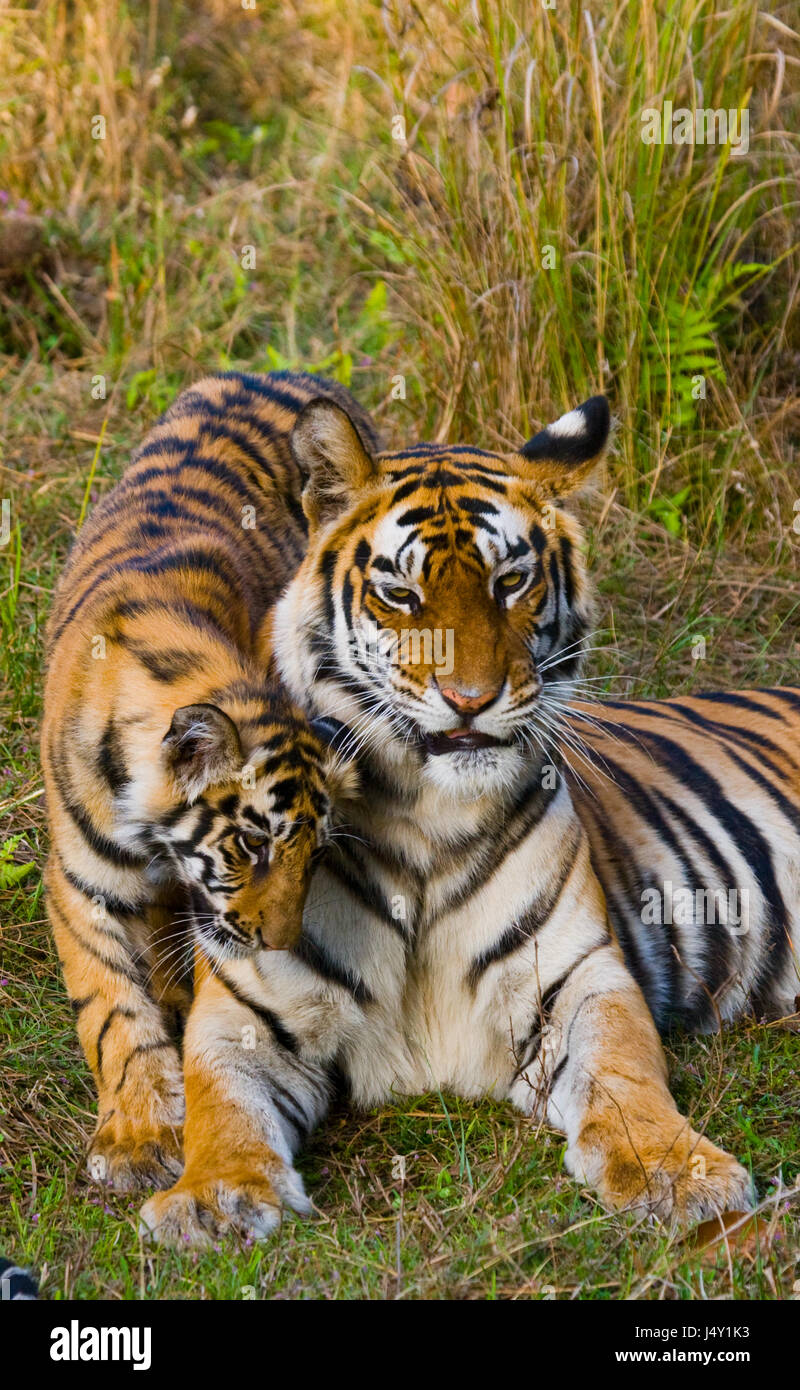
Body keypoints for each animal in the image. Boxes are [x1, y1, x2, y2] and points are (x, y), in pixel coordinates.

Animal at [41, 372, 362, 1206]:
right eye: (251, 843)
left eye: (317, 856)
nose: (280, 942)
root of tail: (284, 373)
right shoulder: (79, 883)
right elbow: (111, 1011)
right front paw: (135, 1140)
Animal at [140, 371, 799, 1248]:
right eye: (400, 593)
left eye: (509, 582)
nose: (471, 700)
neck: (428, 818)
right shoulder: (246, 1004)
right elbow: (220, 1106)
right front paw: (212, 1198)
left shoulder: (578, 978)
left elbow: (627, 1074)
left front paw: (676, 1172)